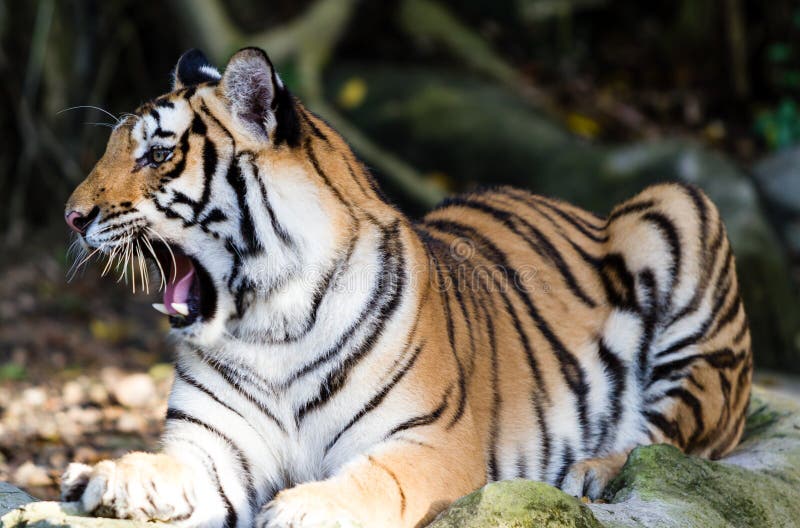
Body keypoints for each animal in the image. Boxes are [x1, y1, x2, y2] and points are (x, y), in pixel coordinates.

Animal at [61, 47, 753, 528]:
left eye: (157, 154)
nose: (72, 216)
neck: (269, 324)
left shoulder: (432, 441)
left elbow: (373, 478)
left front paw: (303, 506)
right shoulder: (213, 444)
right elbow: (171, 463)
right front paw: (107, 476)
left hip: (677, 212)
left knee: (668, 443)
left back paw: (592, 473)